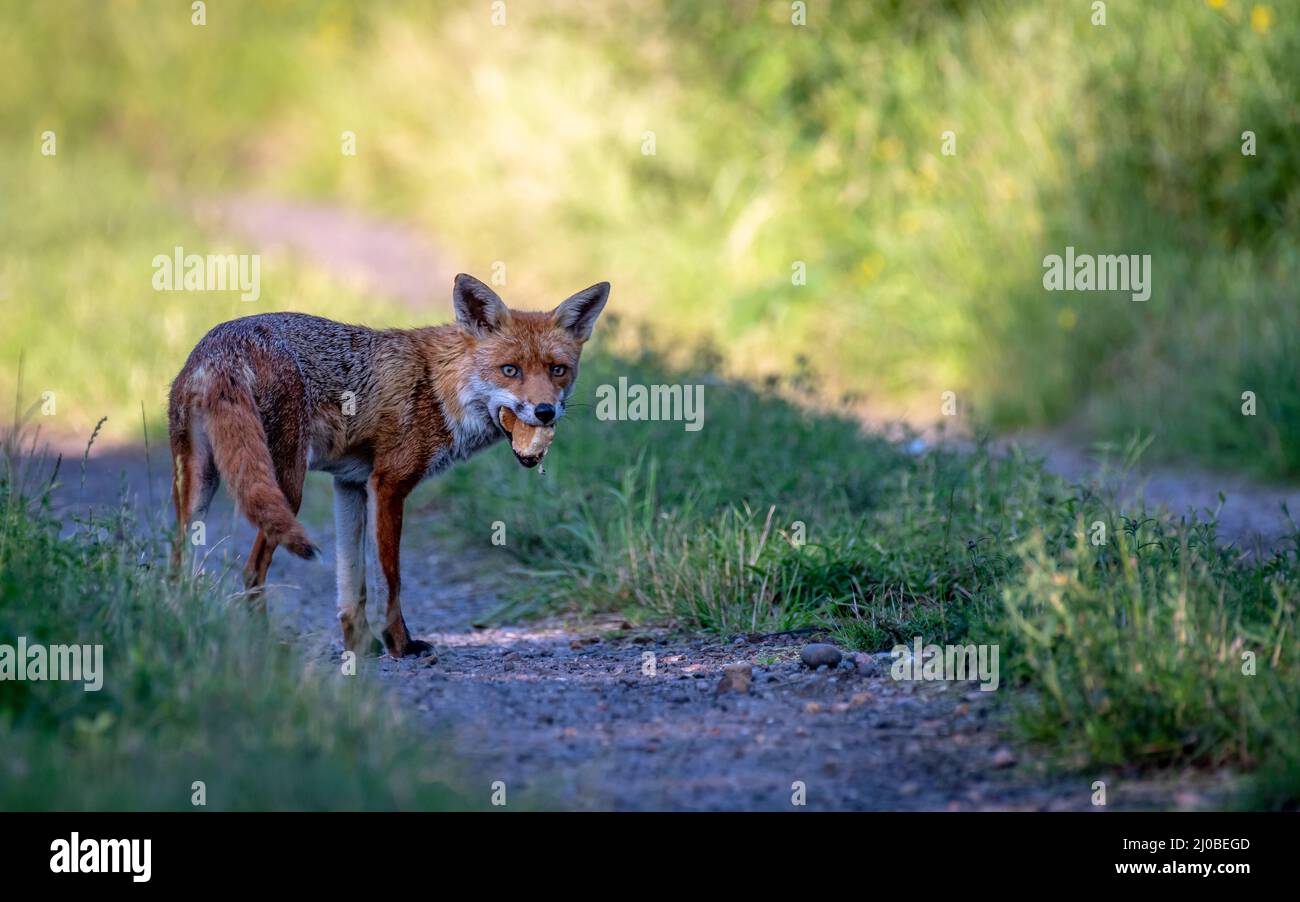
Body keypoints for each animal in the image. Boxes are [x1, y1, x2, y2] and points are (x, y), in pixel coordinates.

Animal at [168, 273, 610, 657]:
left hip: (198, 489)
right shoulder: (389, 483)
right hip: (287, 490)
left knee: (177, 565)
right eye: (510, 370)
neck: (438, 387)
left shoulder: (349, 485)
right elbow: (391, 578)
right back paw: (262, 645)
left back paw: (185, 620)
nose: (546, 411)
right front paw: (400, 644)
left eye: (557, 370)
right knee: (251, 571)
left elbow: (353, 585)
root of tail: (223, 346)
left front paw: (361, 647)